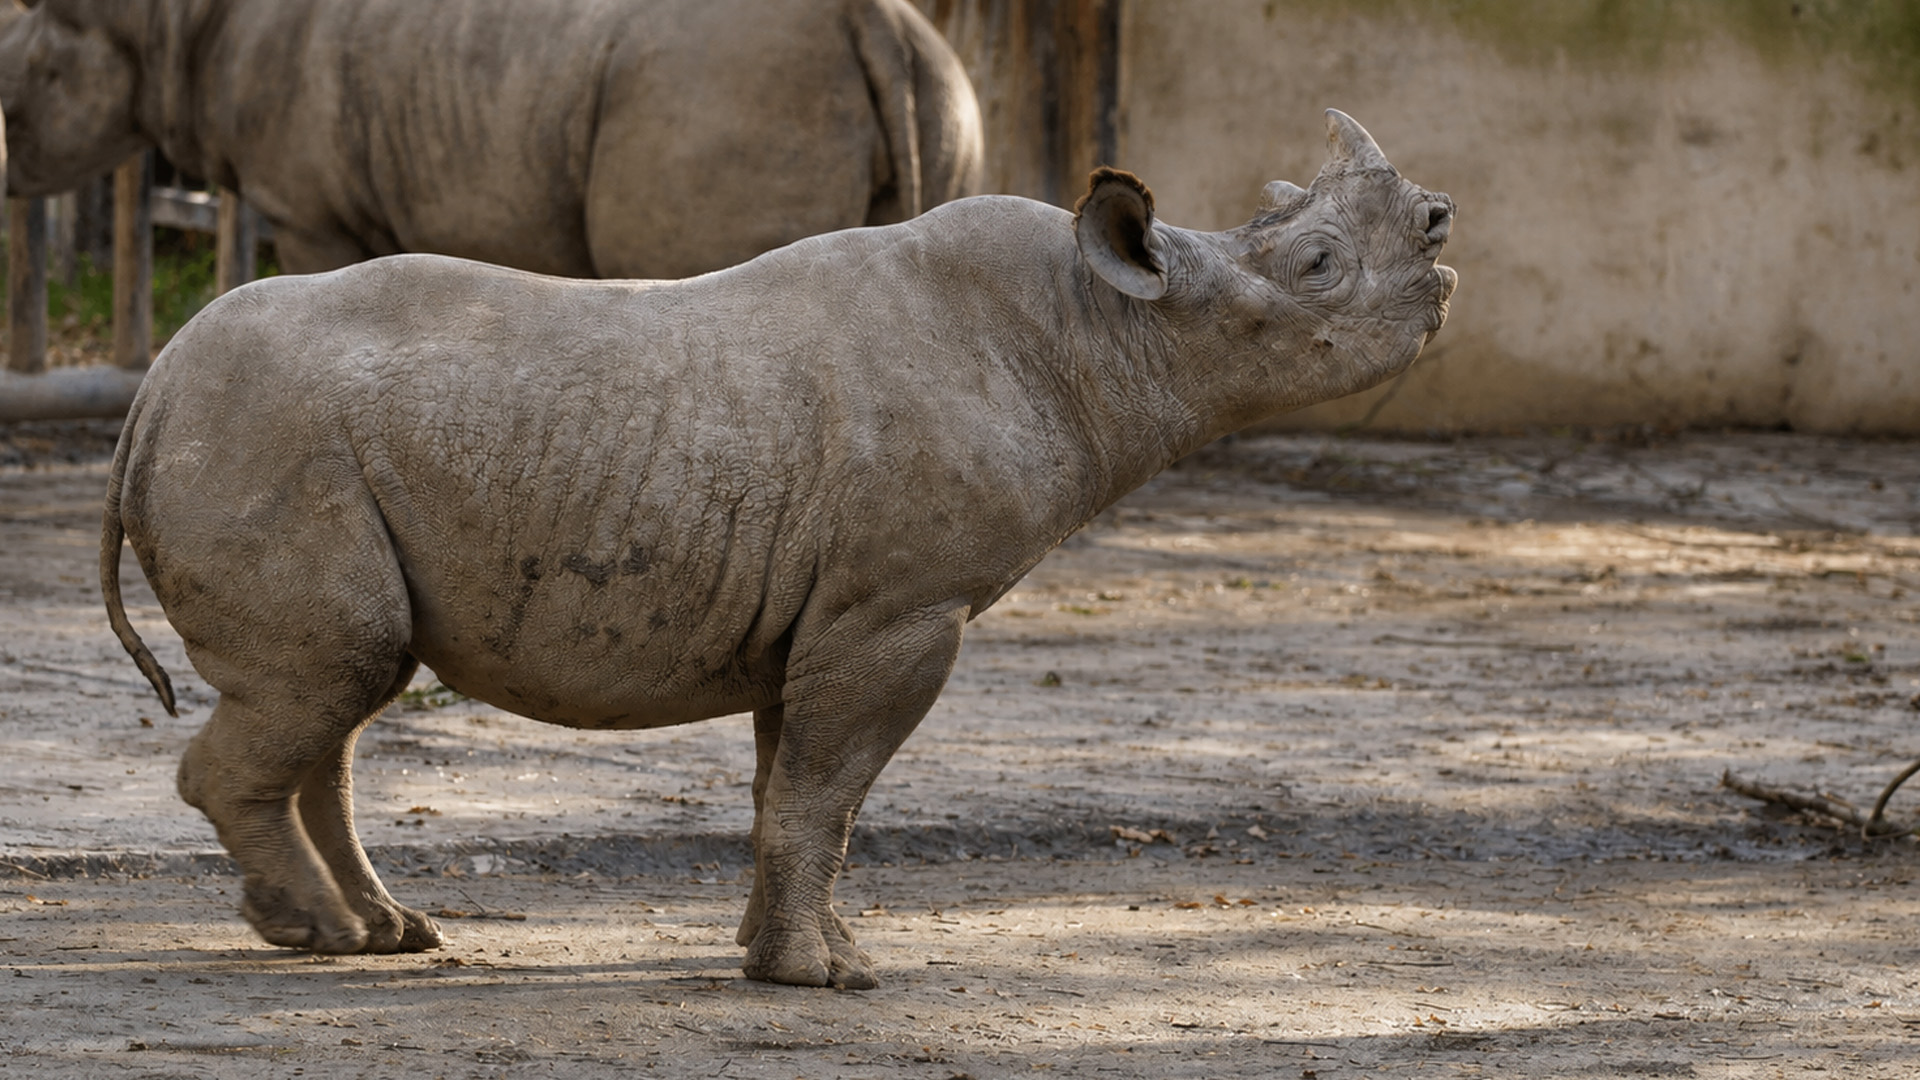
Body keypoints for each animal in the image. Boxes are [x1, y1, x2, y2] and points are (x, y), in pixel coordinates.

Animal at [0, 0, 981, 277]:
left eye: (28, 92)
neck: (162, 22)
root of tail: (874, 18)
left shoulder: (307, 210)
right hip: (947, 90)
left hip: (723, 88)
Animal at [101, 111, 1456, 988]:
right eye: (1321, 265)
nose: (1445, 240)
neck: (1109, 322)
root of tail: (149, 395)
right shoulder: (903, 608)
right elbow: (829, 787)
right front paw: (831, 982)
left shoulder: (820, 611)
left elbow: (789, 788)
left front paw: (789, 959)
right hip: (268, 437)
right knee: (330, 677)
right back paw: (320, 941)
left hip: (288, 440)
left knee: (342, 689)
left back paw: (388, 933)